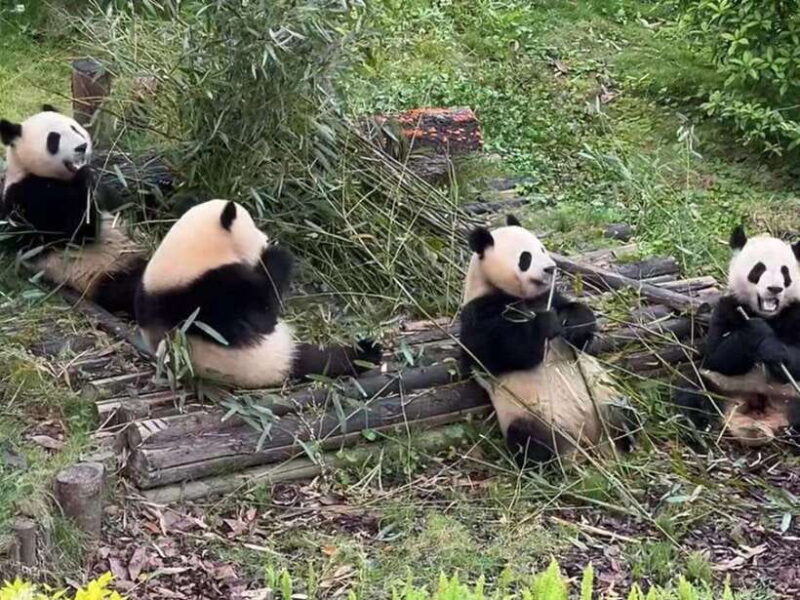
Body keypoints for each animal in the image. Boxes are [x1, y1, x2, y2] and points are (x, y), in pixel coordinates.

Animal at [0, 105, 146, 315]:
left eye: (74, 128)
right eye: (53, 139)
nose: (82, 147)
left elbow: (117, 205)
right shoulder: (27, 197)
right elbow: (77, 232)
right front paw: (84, 177)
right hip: (101, 272)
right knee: (134, 289)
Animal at [135, 199, 381, 388]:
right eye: (253, 226)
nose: (265, 238)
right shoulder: (212, 292)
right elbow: (261, 314)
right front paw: (276, 255)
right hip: (272, 358)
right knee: (321, 360)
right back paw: (366, 353)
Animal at [459, 215, 632, 466]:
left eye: (542, 248)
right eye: (525, 258)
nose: (551, 268)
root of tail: (588, 439)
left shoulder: (549, 297)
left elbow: (579, 328)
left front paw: (572, 323)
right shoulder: (478, 312)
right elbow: (497, 350)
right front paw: (546, 324)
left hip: (605, 393)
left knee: (622, 411)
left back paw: (627, 440)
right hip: (529, 415)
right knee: (531, 441)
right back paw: (558, 462)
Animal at [675, 225, 800, 447]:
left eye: (785, 272)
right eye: (758, 269)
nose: (775, 288)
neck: (766, 315)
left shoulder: (796, 311)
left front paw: (773, 349)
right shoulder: (726, 307)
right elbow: (717, 354)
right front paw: (757, 331)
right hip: (719, 385)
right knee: (691, 387)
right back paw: (699, 429)